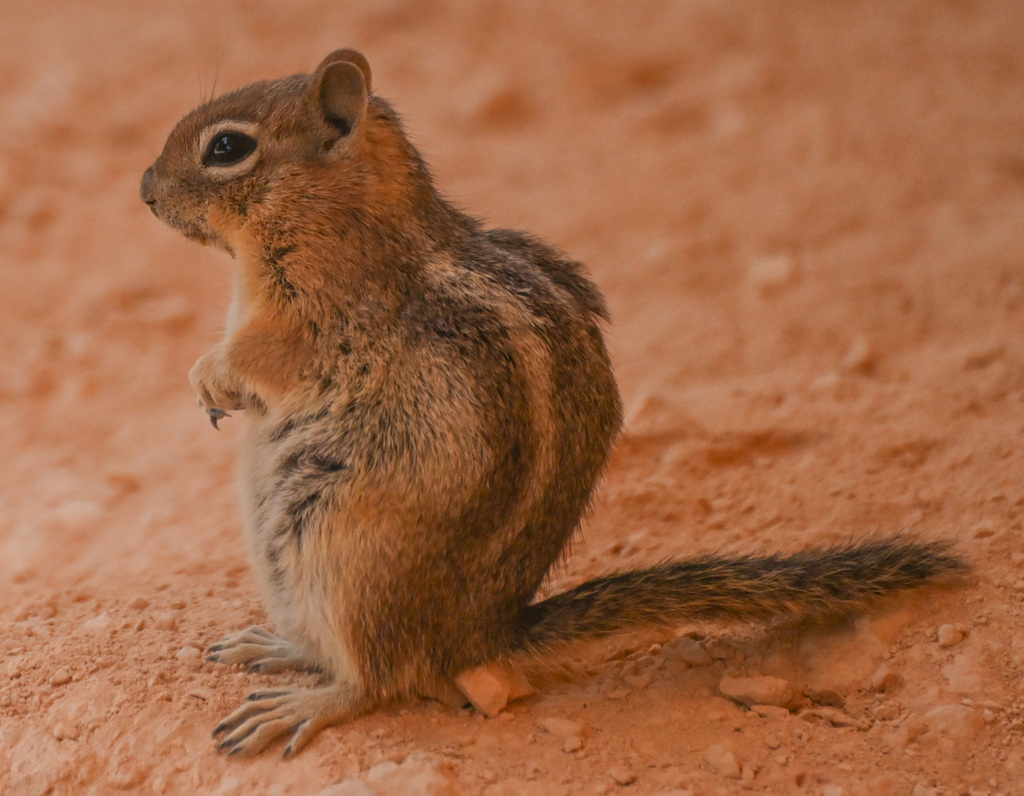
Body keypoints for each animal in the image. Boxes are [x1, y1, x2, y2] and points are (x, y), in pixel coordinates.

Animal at [140, 49, 966, 758]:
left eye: (226, 147)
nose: (145, 189)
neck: (340, 214)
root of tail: (478, 636)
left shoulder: (310, 319)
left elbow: (256, 356)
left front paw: (208, 377)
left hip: (342, 548)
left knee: (378, 678)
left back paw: (306, 703)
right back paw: (276, 644)